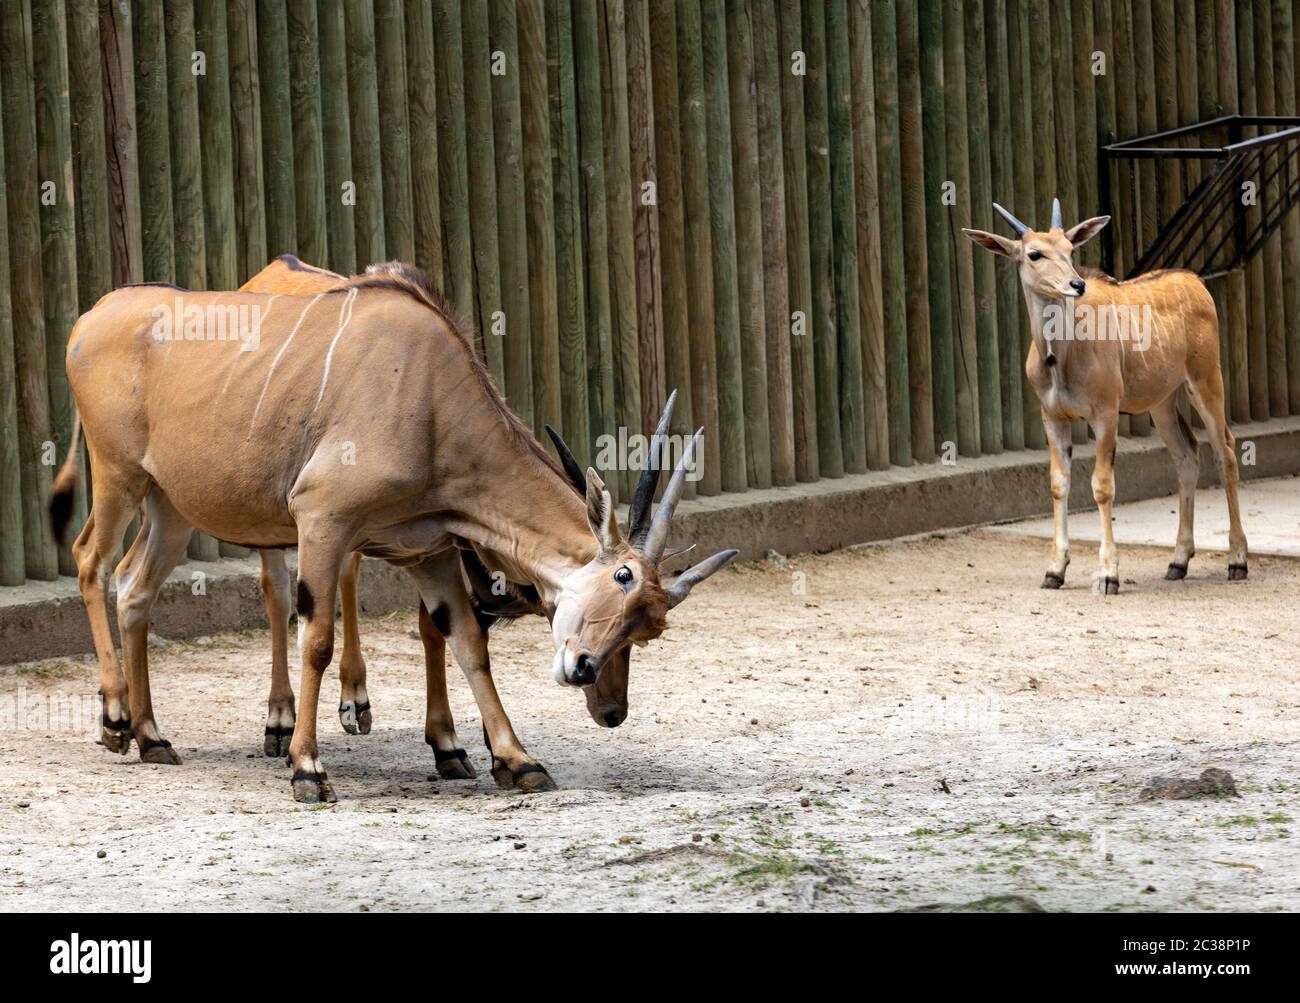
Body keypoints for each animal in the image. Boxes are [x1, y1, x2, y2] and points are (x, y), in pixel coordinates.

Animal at [50, 264, 735, 802]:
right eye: (620, 576)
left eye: (648, 627)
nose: (599, 691)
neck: (429, 393)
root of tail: (94, 315)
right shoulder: (322, 522)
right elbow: (318, 640)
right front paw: (307, 767)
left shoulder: (428, 551)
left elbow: (467, 643)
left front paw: (515, 761)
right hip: (118, 478)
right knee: (91, 562)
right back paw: (116, 718)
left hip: (172, 506)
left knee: (135, 587)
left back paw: (151, 736)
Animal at [964, 199, 1248, 594]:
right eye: (1034, 254)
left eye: (1070, 251)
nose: (1077, 284)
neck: (1059, 355)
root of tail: (1194, 281)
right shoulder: (1053, 417)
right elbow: (1059, 483)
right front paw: (1054, 570)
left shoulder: (1105, 414)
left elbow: (1102, 486)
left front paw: (1108, 573)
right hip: (1162, 402)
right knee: (1186, 455)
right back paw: (1178, 561)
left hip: (1205, 382)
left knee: (1226, 452)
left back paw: (1237, 560)